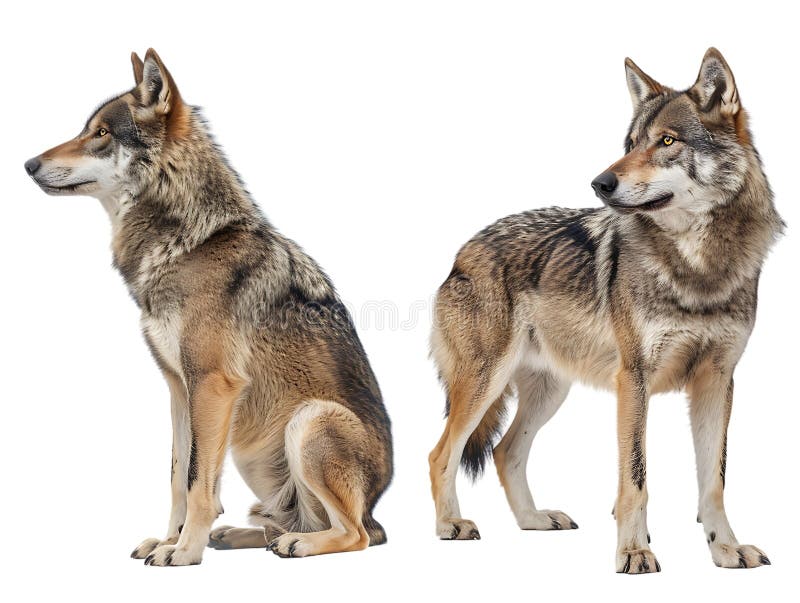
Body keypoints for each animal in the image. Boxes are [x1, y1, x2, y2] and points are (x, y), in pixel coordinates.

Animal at [24, 49, 392, 566]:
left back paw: (296, 544)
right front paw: (170, 539)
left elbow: (199, 482)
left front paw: (184, 551)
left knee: (355, 534)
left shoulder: (213, 385)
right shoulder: (180, 387)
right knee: (284, 521)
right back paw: (244, 535)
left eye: (101, 133)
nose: (28, 164)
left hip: (309, 421)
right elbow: (179, 475)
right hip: (252, 449)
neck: (186, 243)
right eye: (87, 129)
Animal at [428, 48, 782, 573]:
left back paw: (534, 520)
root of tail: (463, 251)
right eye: (630, 143)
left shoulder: (717, 381)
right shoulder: (632, 380)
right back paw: (451, 524)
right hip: (485, 383)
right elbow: (635, 480)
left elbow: (713, 481)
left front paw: (726, 549)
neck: (698, 268)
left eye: (667, 141)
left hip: (549, 392)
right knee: (441, 454)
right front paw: (634, 551)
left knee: (505, 452)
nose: (600, 182)